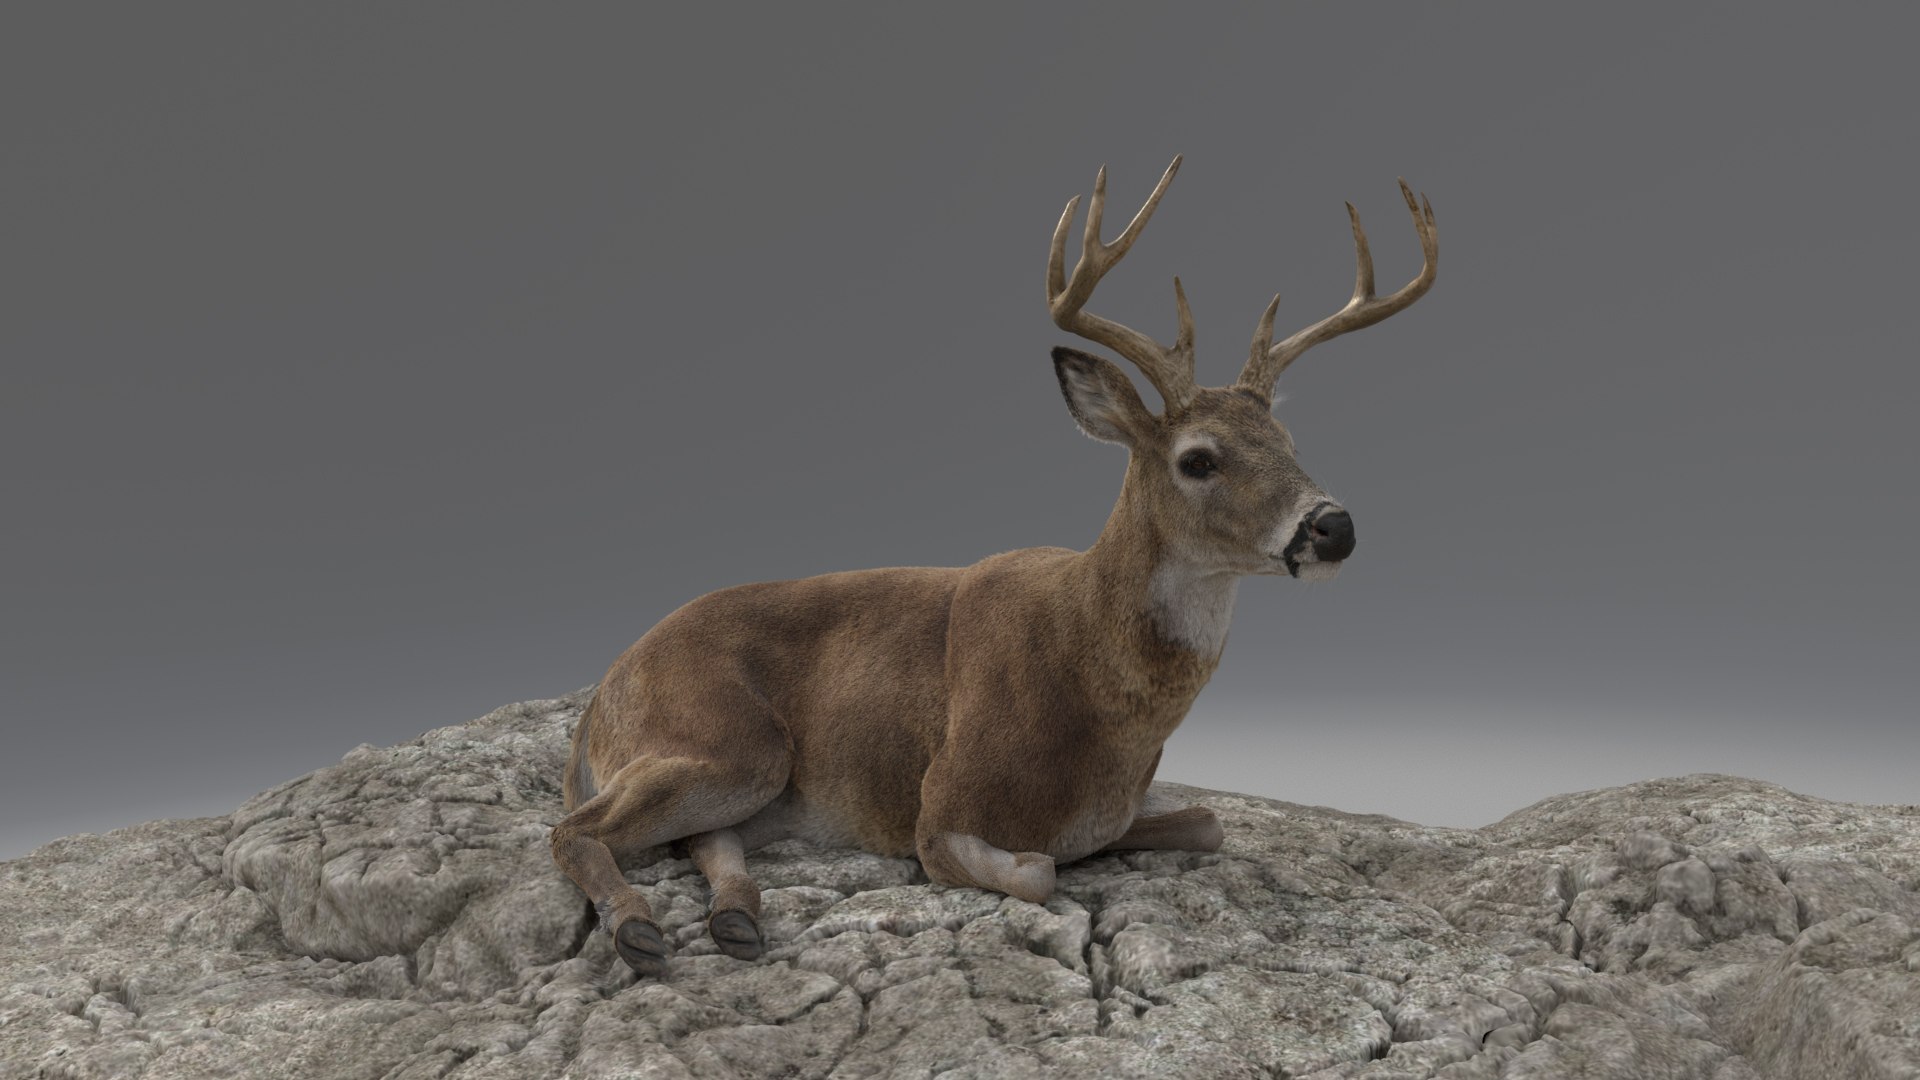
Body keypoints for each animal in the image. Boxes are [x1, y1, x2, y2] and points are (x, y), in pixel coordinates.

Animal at [552, 156, 1438, 977]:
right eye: (1198, 459)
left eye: (1289, 443)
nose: (1333, 526)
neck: (1090, 669)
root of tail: (604, 694)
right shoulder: (939, 801)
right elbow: (1038, 869)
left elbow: (1208, 821)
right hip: (730, 737)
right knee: (572, 829)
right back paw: (638, 931)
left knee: (701, 838)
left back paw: (737, 920)